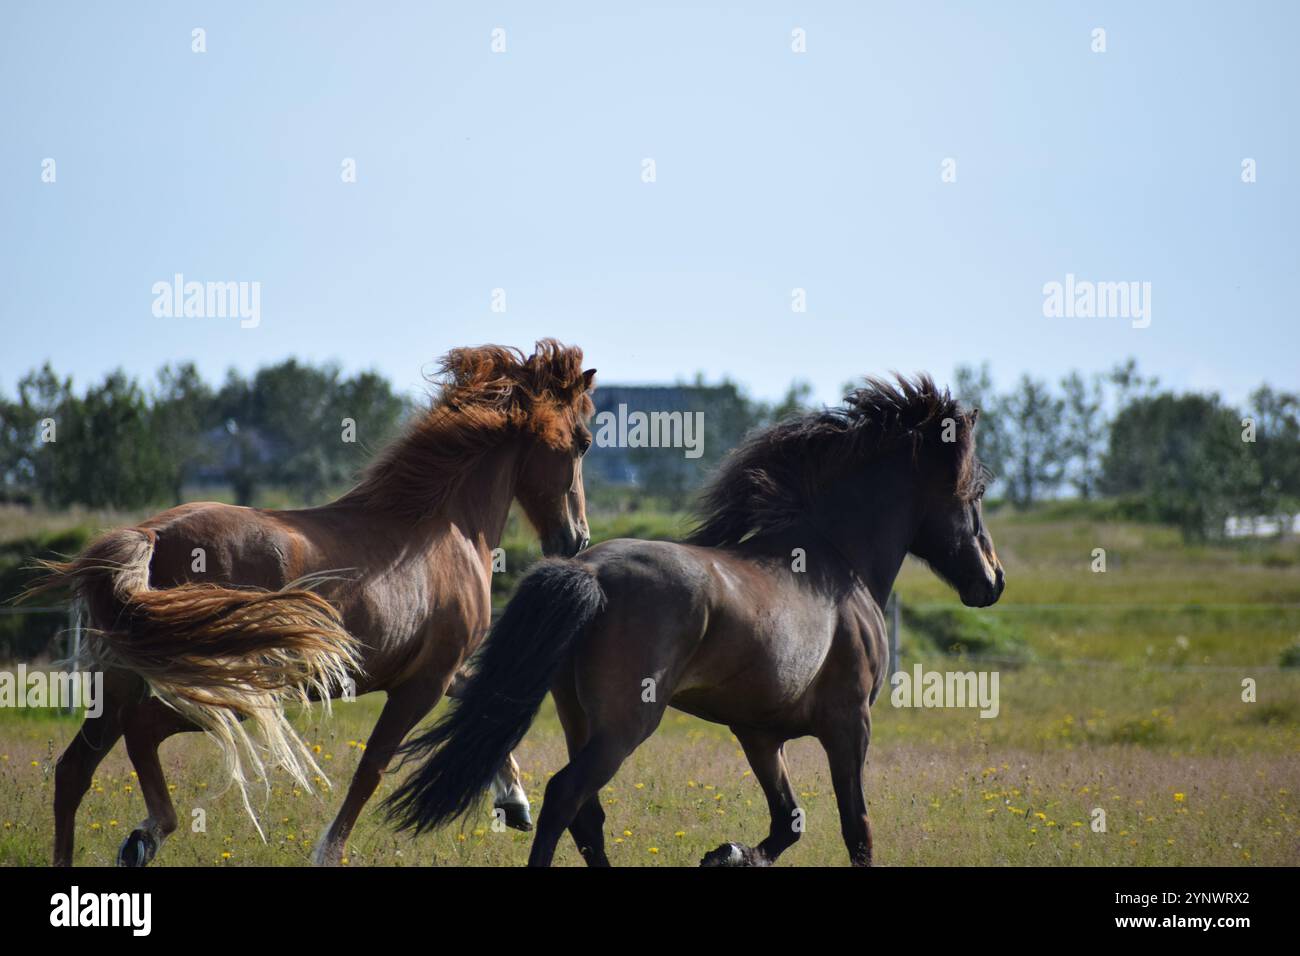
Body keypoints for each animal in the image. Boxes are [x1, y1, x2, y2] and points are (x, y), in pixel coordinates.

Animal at [24, 339, 597, 867]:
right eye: (584, 442)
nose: (577, 540)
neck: (445, 528)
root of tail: (153, 535)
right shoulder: (421, 684)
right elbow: (372, 769)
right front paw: (328, 852)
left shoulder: (435, 670)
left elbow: (483, 703)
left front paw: (516, 802)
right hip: (233, 686)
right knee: (139, 734)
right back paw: (147, 836)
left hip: (124, 683)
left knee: (75, 770)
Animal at [383, 374, 1005, 866]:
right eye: (973, 493)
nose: (992, 581)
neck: (834, 566)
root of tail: (587, 571)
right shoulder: (849, 726)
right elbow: (857, 833)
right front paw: (730, 854)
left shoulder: (759, 735)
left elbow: (788, 822)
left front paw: (726, 854)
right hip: (626, 725)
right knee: (565, 796)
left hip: (578, 716)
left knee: (588, 816)